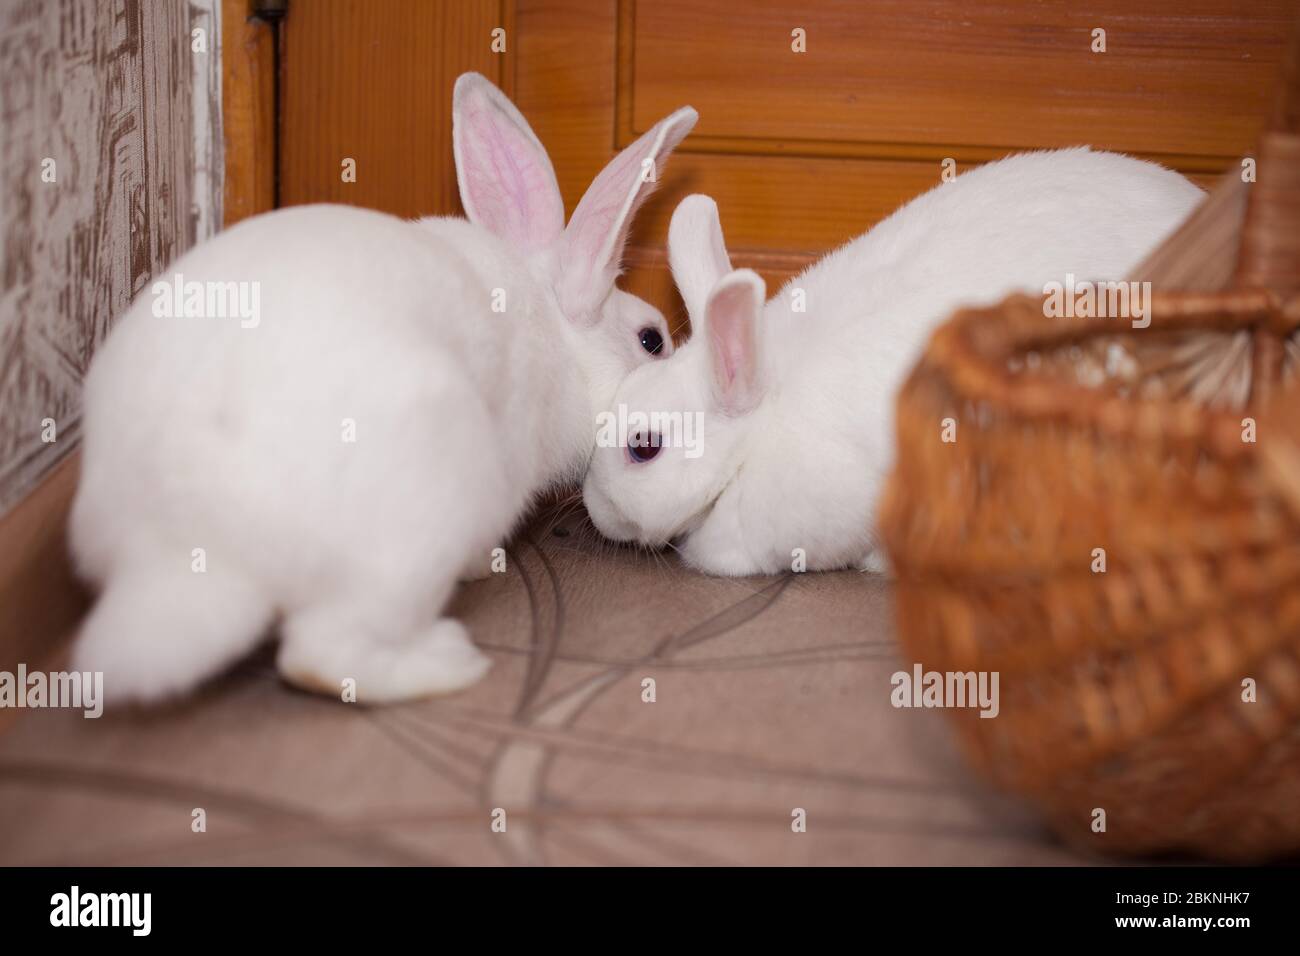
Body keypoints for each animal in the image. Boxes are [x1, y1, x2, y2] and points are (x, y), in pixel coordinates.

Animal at [68, 73, 697, 704]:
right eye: (651, 340)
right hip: (422, 519)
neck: (557, 335)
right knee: (320, 656)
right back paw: (449, 662)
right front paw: (481, 567)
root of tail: (190, 544)